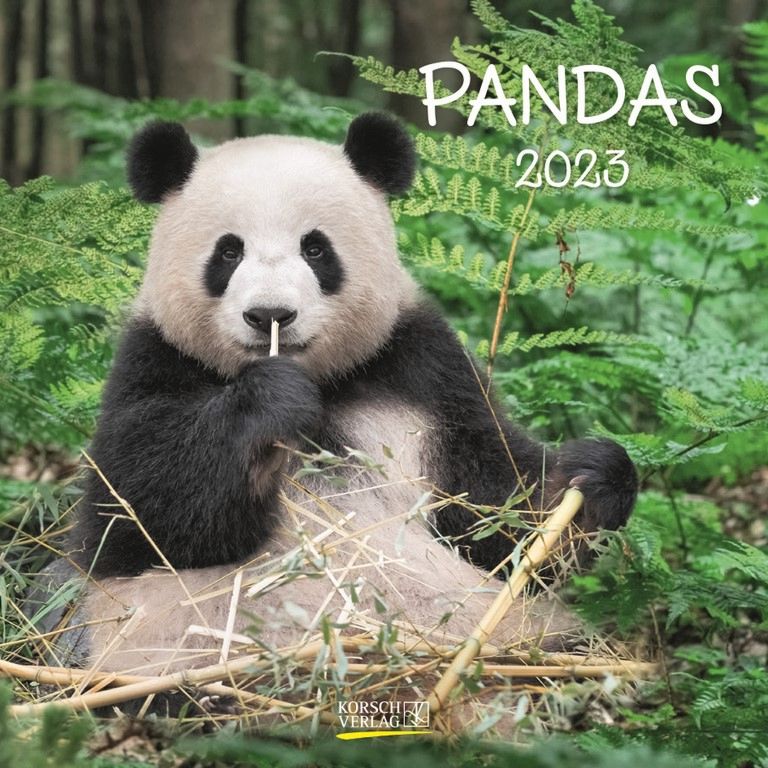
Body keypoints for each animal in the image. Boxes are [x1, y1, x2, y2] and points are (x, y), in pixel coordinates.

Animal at [66, 113, 638, 680]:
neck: (322, 382)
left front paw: (591, 477)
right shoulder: (153, 360)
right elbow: (134, 516)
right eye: (228, 251)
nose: (270, 315)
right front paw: (268, 404)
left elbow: (493, 508)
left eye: (315, 248)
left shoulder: (421, 369)